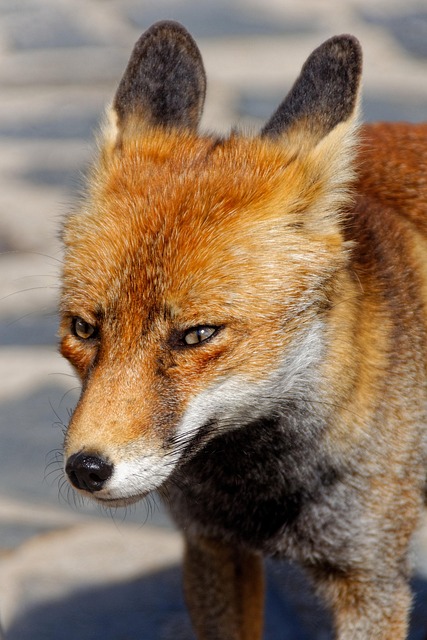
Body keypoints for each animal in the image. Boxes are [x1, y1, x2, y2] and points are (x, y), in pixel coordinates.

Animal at [59, 20, 427, 640]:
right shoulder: (213, 549)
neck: (261, 494)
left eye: (197, 335)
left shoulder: (371, 582)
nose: (85, 468)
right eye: (84, 329)